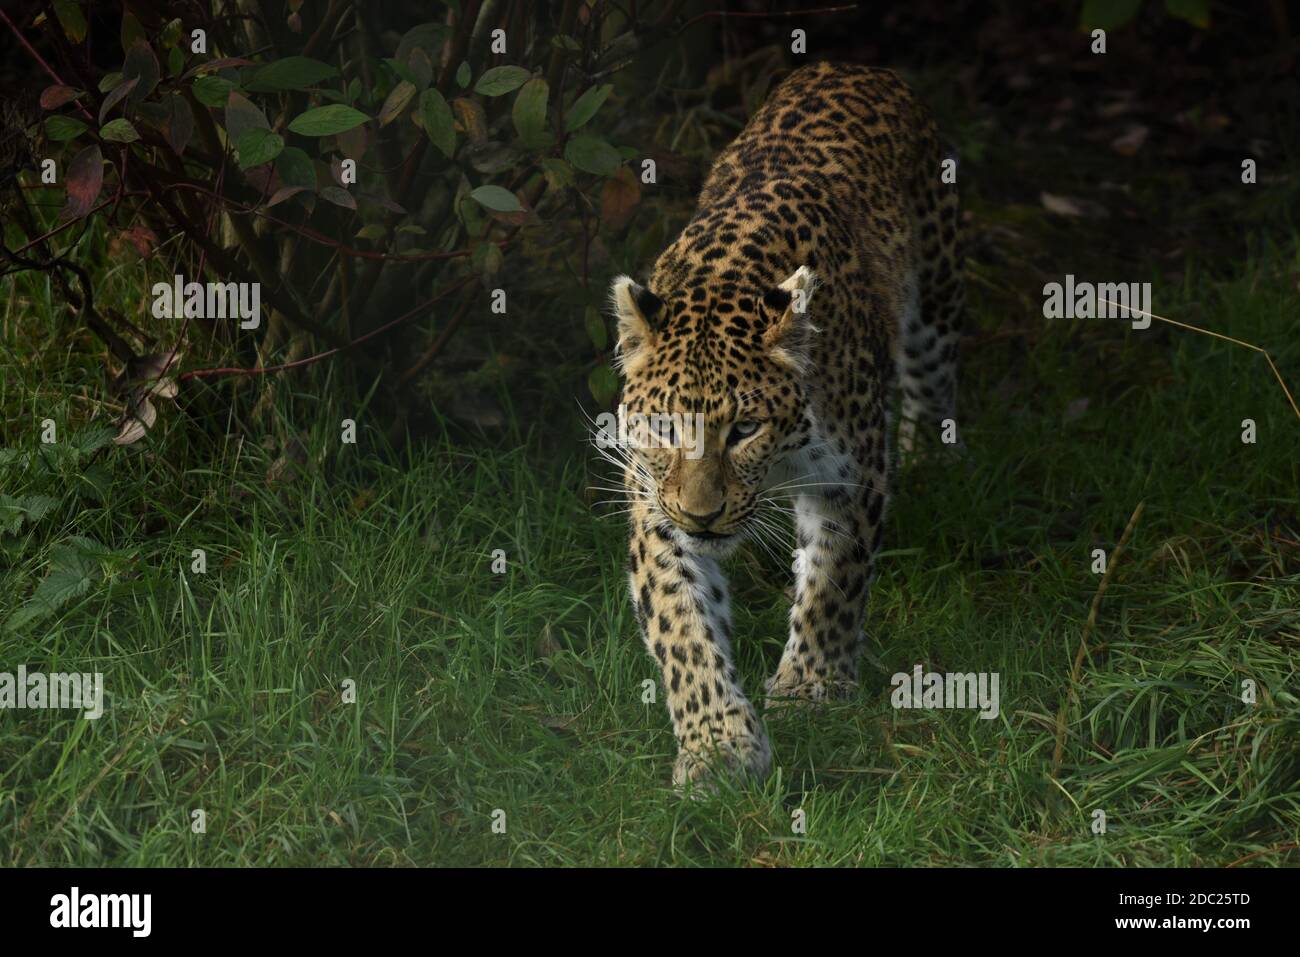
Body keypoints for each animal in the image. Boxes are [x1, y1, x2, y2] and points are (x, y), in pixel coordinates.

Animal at [604, 62, 964, 789]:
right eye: (664, 429)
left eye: (745, 429)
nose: (703, 514)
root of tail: (855, 66)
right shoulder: (655, 510)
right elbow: (683, 627)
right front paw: (717, 743)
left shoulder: (851, 473)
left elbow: (833, 580)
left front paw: (811, 689)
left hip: (933, 300)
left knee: (932, 376)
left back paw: (932, 458)